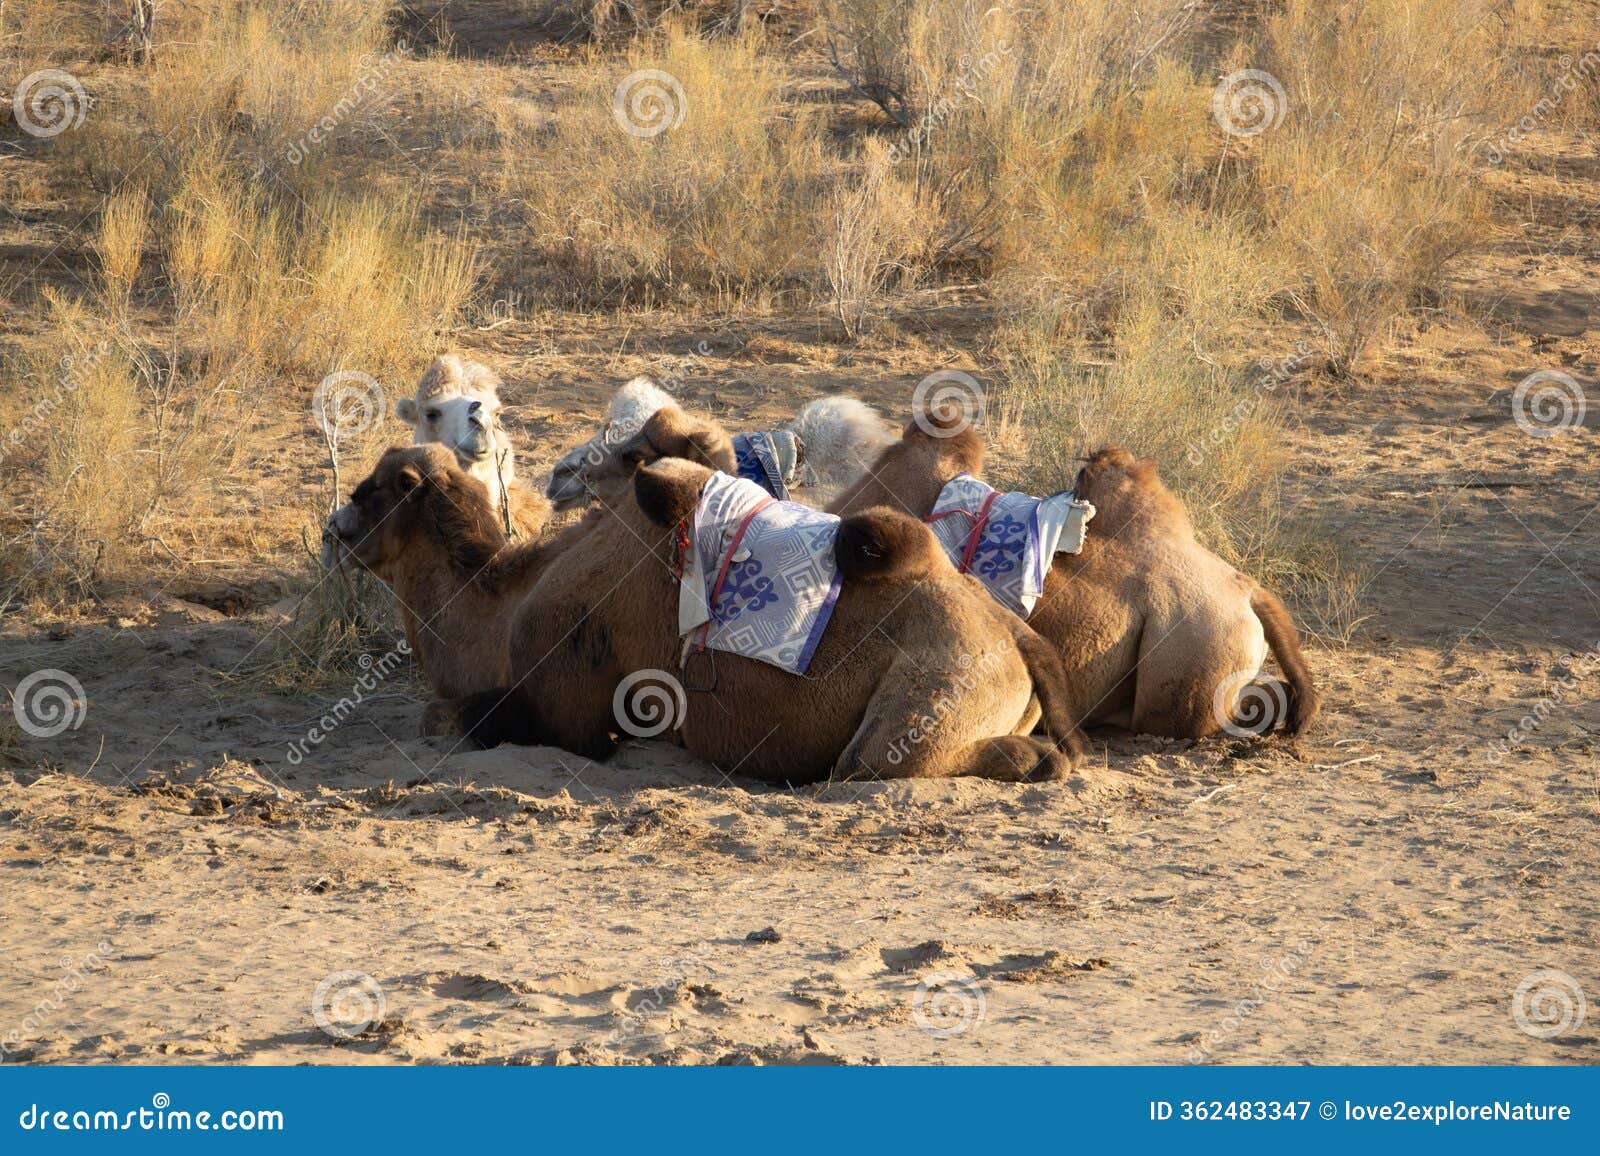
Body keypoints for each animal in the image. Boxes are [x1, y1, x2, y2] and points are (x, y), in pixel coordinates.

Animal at [325, 445, 1089, 783]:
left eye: (367, 491)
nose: (335, 530)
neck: (506, 613)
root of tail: (1018, 636)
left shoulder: (569, 707)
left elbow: (450, 717)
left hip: (939, 682)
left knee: (877, 761)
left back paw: (1035, 761)